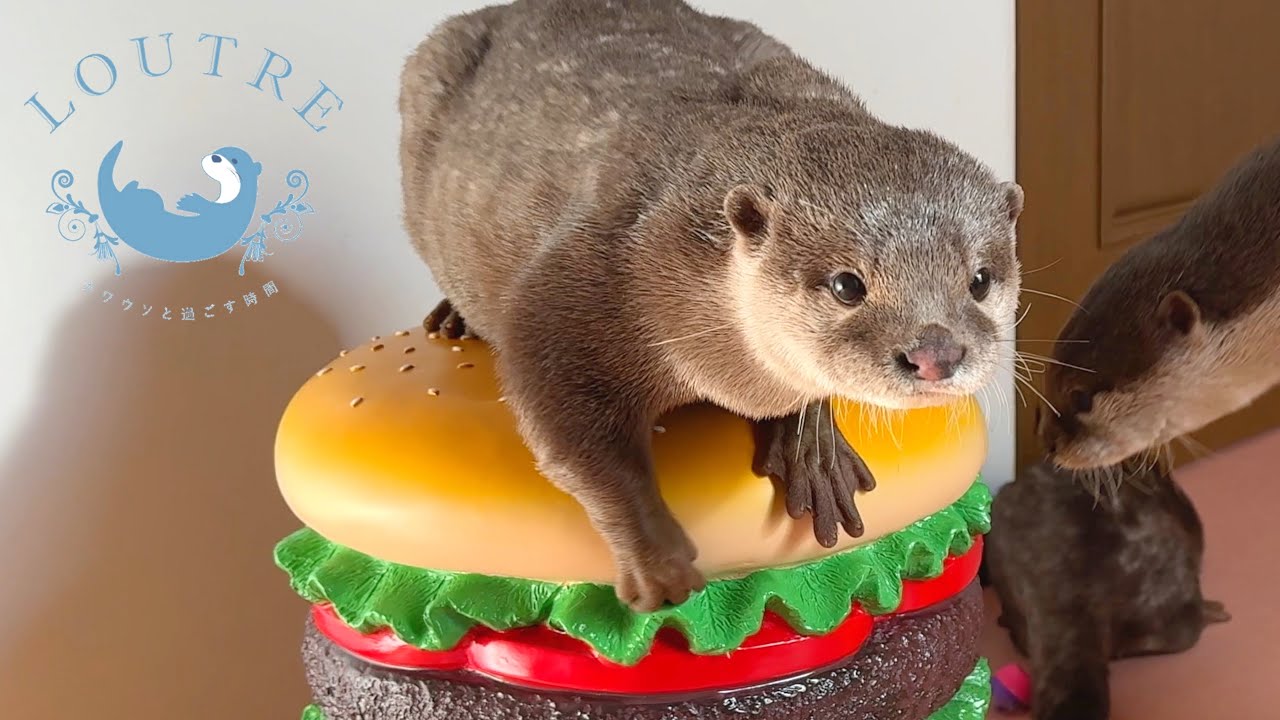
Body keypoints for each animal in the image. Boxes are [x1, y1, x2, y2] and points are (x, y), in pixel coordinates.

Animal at [97, 140, 262, 263]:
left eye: (235, 160)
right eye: (217, 151)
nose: (215, 157)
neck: (231, 199)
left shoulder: (223, 213)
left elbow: (207, 207)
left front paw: (189, 201)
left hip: (150, 198)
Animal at [399, 0, 1023, 612]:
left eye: (979, 279)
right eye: (848, 285)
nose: (936, 354)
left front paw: (813, 453)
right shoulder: (577, 288)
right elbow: (571, 429)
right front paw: (657, 558)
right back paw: (452, 318)